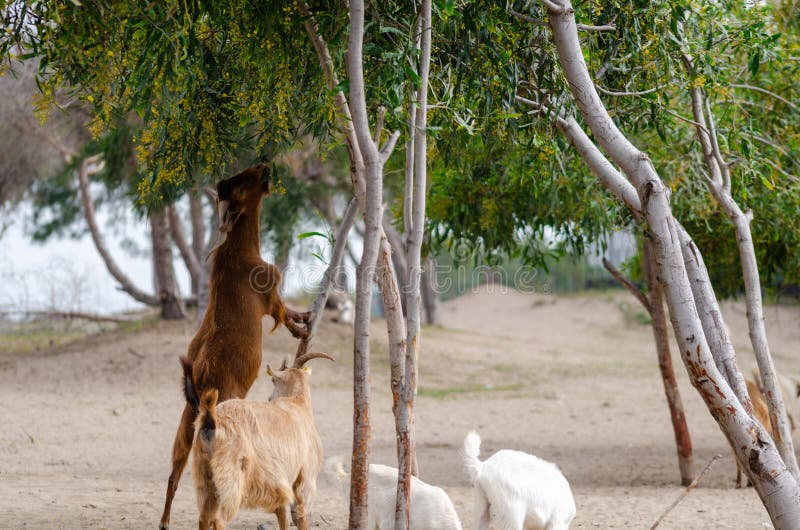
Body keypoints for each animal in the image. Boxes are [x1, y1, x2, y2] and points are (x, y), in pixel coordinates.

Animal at [159, 164, 311, 530]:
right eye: (243, 178)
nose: (265, 165)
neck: (238, 251)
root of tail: (198, 383)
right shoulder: (270, 294)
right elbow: (285, 316)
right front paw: (304, 325)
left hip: (186, 424)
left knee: (174, 474)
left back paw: (164, 522)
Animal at [181, 351, 332, 530]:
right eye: (273, 380)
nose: (269, 398)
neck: (297, 404)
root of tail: (211, 420)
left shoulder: (281, 483)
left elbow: (283, 516)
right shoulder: (305, 479)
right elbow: (300, 516)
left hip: (205, 476)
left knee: (204, 517)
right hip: (230, 478)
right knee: (219, 518)